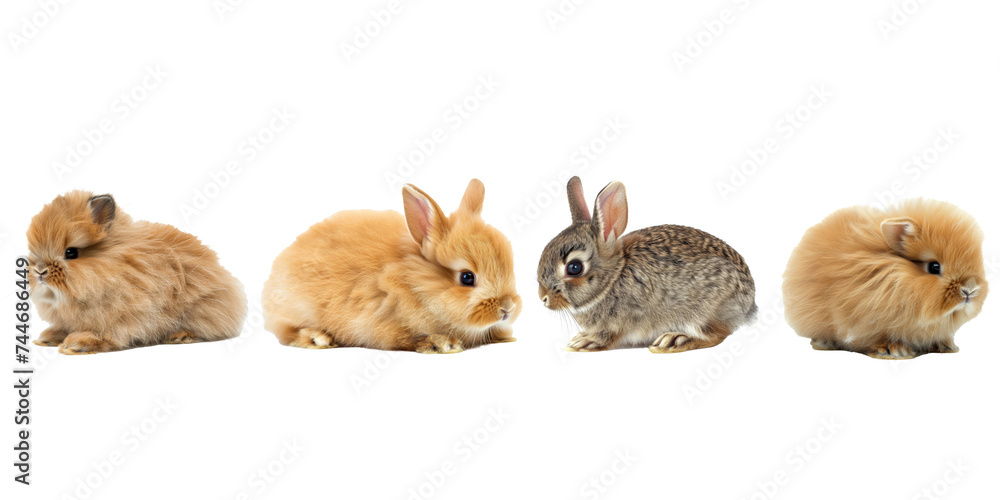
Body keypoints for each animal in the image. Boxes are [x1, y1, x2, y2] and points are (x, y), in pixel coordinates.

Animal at [27, 191, 247, 355]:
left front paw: (77, 343)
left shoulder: (127, 315)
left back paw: (180, 336)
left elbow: (111, 333)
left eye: (71, 253)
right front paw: (47, 339)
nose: (40, 272)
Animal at [262, 179, 521, 353]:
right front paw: (442, 343)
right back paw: (318, 338)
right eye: (467, 277)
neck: (414, 283)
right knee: (285, 331)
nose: (507, 308)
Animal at [537, 176, 758, 353]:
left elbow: (608, 336)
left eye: (574, 268)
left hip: (703, 312)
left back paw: (674, 340)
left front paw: (583, 343)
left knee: (717, 334)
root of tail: (748, 302)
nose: (543, 298)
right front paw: (581, 337)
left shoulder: (621, 322)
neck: (613, 278)